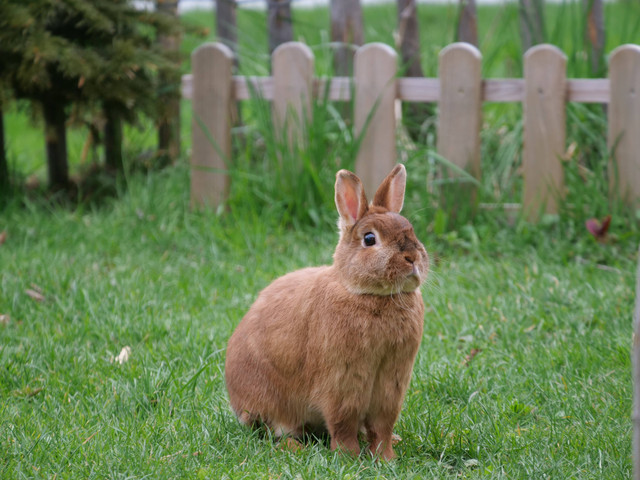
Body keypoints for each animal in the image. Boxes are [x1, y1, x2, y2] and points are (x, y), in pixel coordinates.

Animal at [225, 164, 429, 460]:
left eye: (411, 230)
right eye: (370, 239)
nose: (413, 258)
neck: (369, 295)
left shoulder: (392, 383)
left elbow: (382, 425)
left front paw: (386, 457)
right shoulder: (342, 381)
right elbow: (343, 422)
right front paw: (349, 456)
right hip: (272, 403)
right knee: (276, 431)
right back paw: (293, 447)